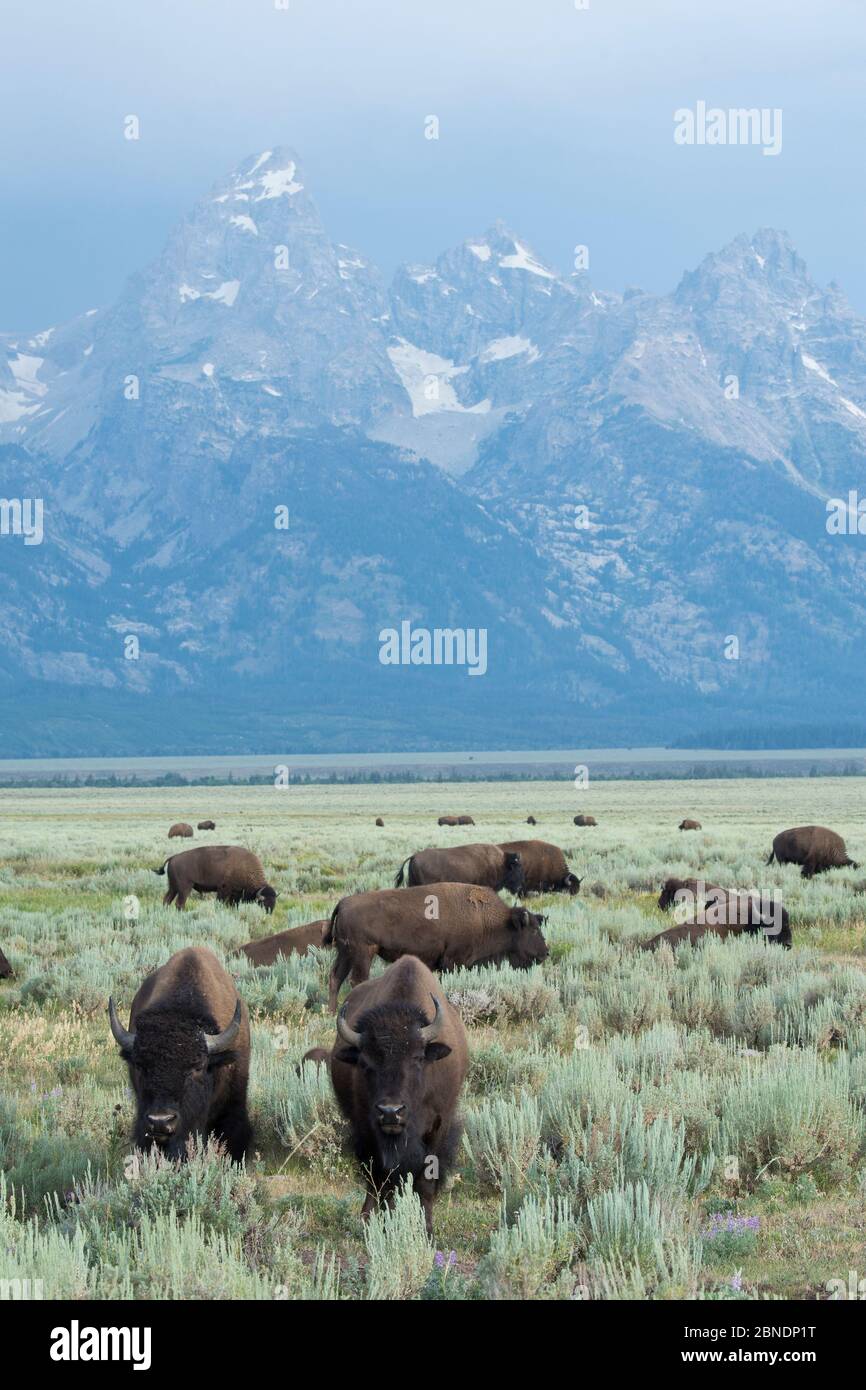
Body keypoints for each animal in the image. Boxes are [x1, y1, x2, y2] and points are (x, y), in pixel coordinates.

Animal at [325, 882, 549, 1012]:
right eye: (533, 930)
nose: (546, 953)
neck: (490, 920)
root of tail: (343, 903)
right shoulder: (453, 961)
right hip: (363, 952)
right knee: (356, 980)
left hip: (345, 952)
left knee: (336, 977)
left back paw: (332, 1012)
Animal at [330, 954, 467, 1236]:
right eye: (365, 1063)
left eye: (417, 1058)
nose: (391, 1112)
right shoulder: (368, 1129)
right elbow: (380, 1178)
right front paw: (373, 1222)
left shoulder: (438, 1126)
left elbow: (425, 1179)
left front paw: (426, 1228)